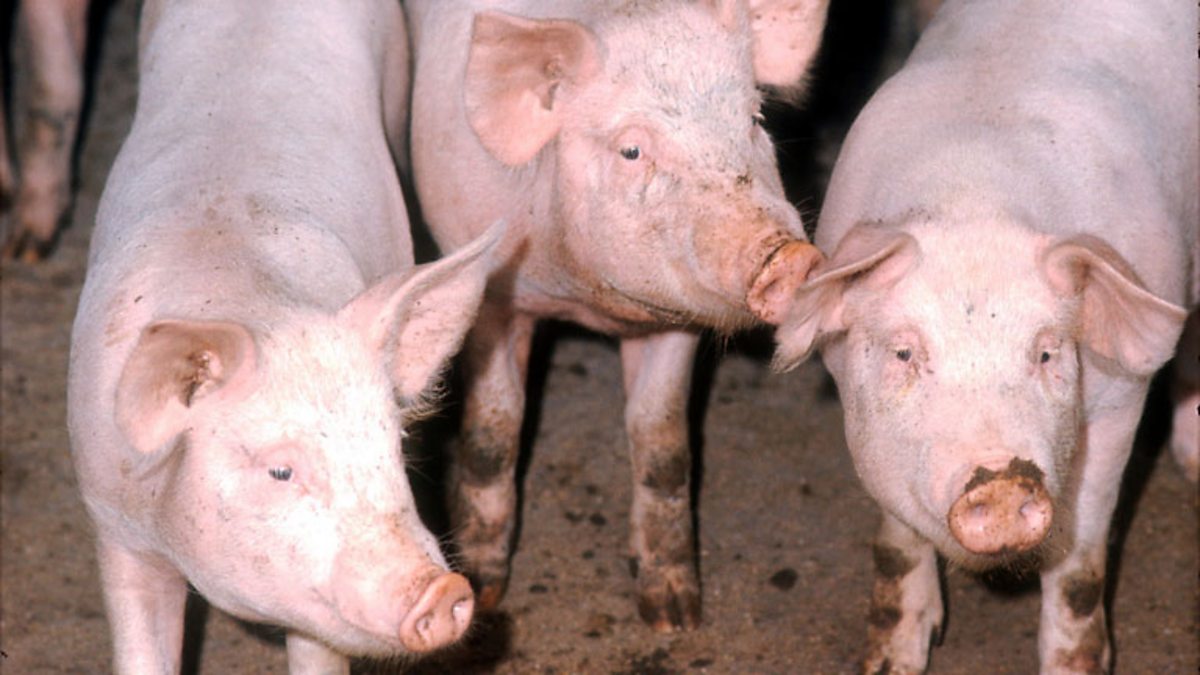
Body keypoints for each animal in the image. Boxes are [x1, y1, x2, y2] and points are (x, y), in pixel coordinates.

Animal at [405, 0, 829, 631]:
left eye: (754, 119)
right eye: (632, 150)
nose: (791, 257)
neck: (586, 298)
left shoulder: (677, 321)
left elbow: (662, 446)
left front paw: (674, 617)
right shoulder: (491, 294)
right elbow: (492, 436)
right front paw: (484, 591)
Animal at [772, 0, 1196, 672]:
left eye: (1046, 351)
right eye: (904, 352)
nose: (998, 479)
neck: (973, 195)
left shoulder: (1121, 399)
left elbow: (1079, 570)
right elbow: (896, 544)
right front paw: (892, 661)